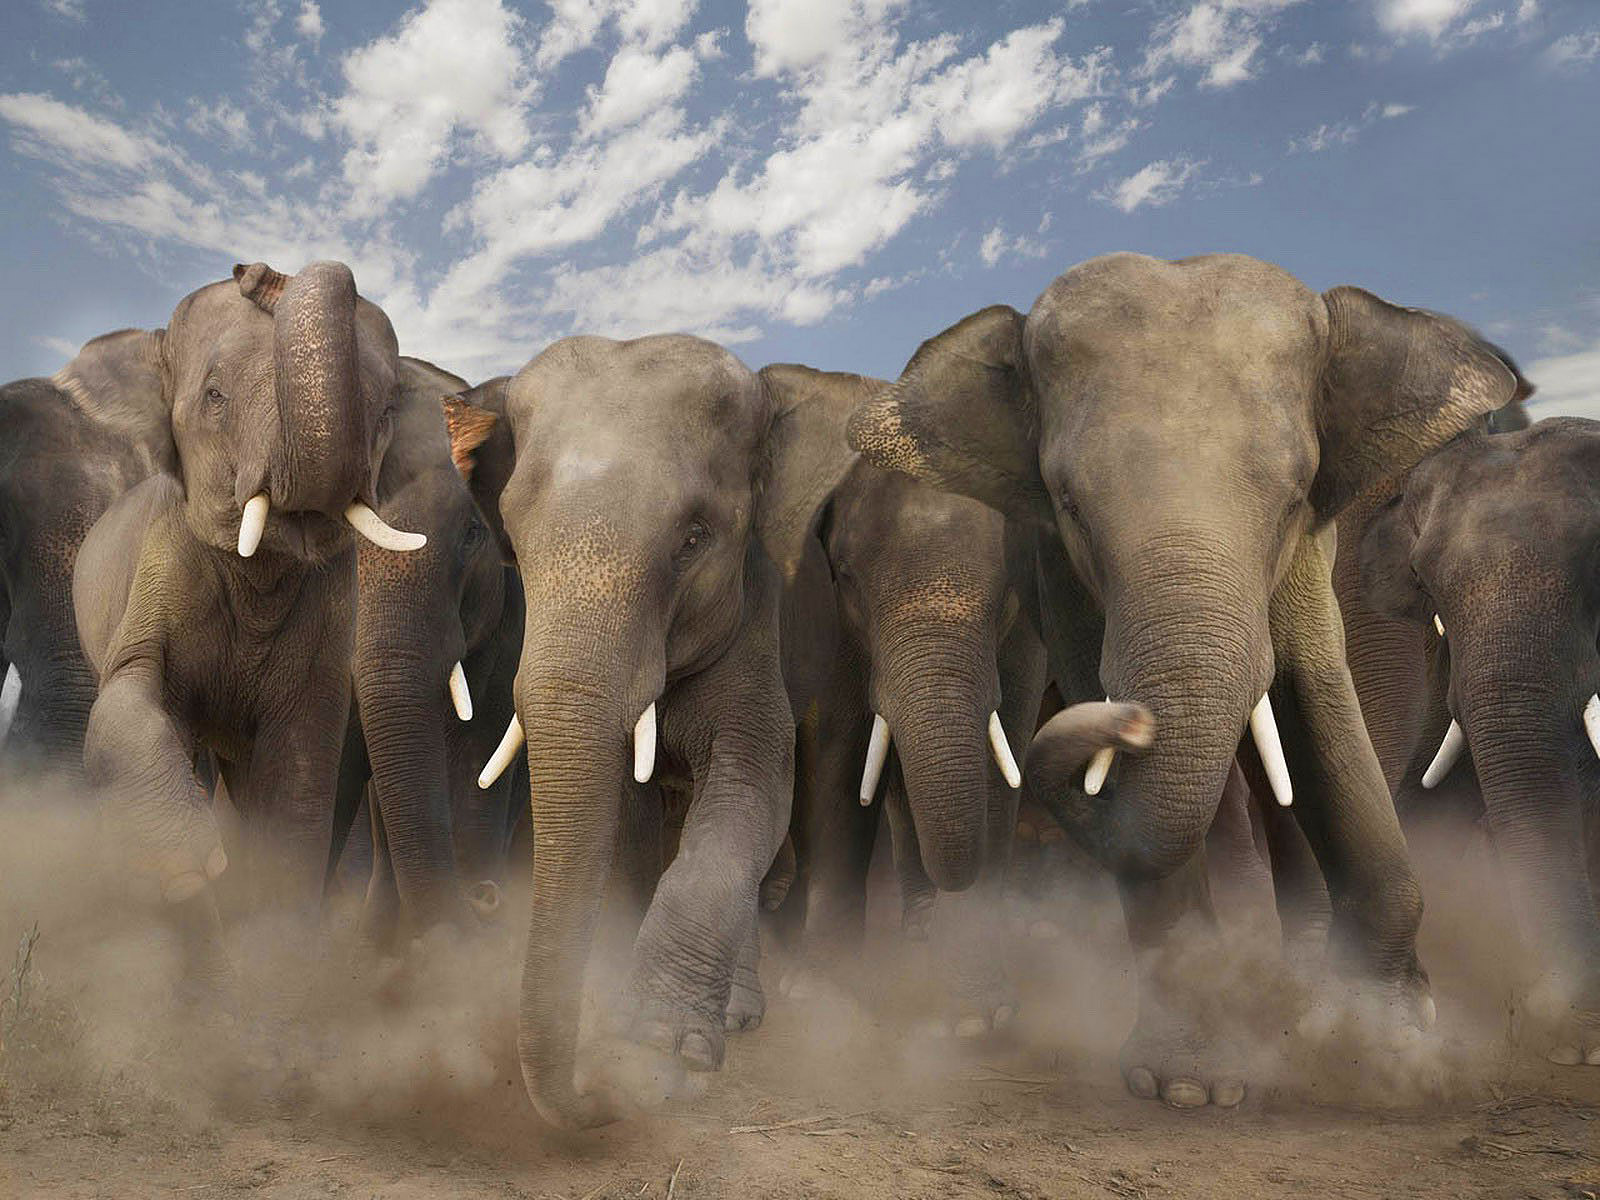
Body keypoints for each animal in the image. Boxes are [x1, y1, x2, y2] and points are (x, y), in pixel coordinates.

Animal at [71, 261, 426, 982]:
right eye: (214, 397)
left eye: (383, 416)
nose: (257, 272)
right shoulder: (160, 559)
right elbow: (125, 697)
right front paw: (193, 867)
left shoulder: (329, 618)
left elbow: (300, 767)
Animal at [448, 335, 859, 1129]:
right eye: (514, 537)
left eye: (694, 538)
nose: (597, 1104)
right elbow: (631, 821)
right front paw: (626, 1020)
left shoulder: (758, 619)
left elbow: (751, 788)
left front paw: (659, 1043)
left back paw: (740, 1014)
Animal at [847, 252, 1525, 1108]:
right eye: (1069, 505)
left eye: (1294, 497)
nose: (1132, 722)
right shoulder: (1055, 571)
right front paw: (1190, 1089)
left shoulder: (1309, 551)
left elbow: (1316, 693)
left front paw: (1389, 1037)